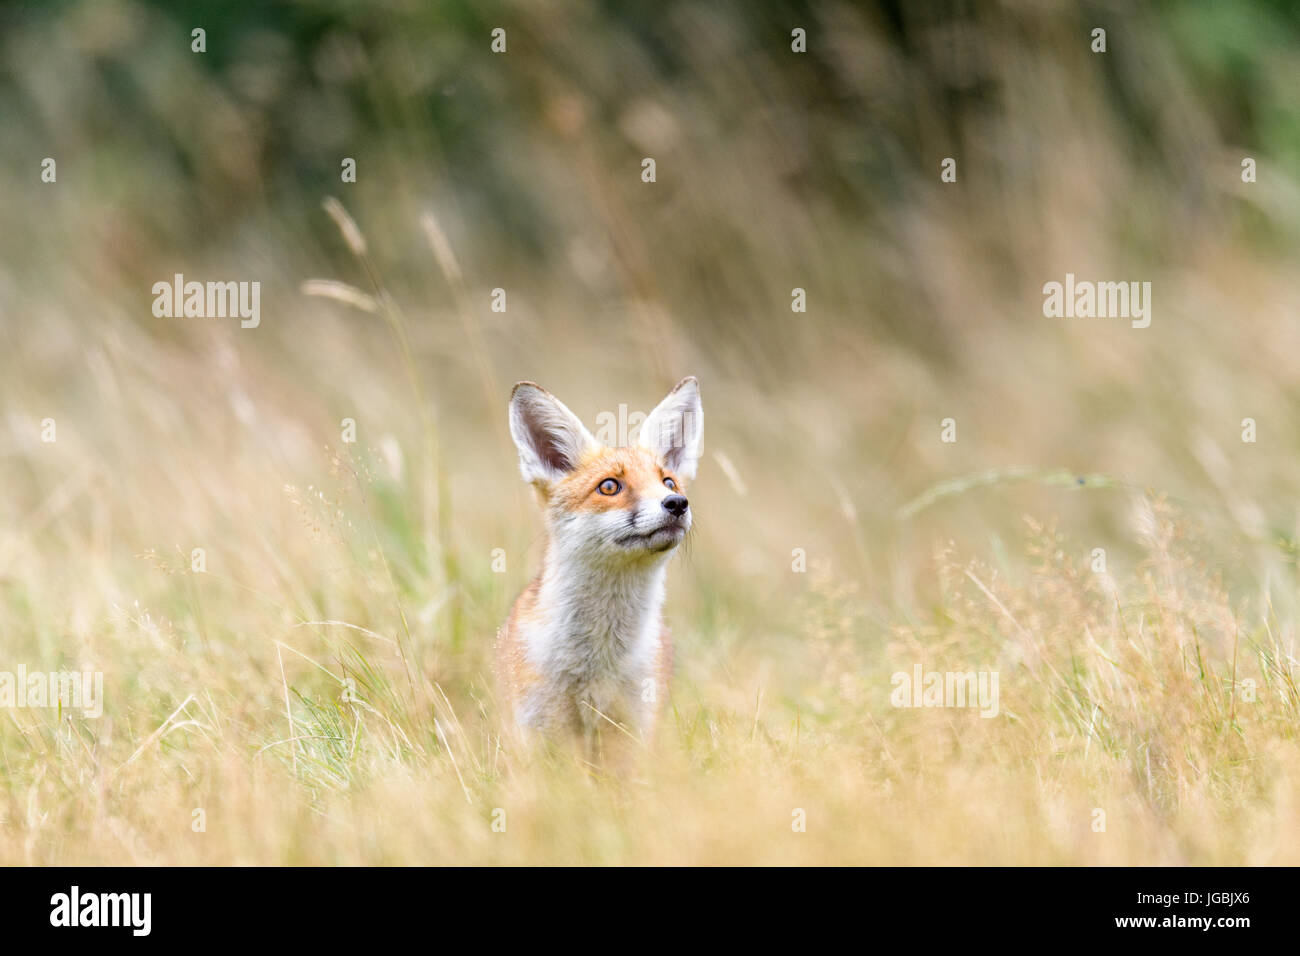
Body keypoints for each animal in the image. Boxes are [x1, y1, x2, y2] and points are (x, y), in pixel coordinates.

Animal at [495, 376, 703, 758]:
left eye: (668, 482)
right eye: (609, 486)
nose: (677, 503)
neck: (596, 661)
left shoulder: (633, 728)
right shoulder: (537, 730)